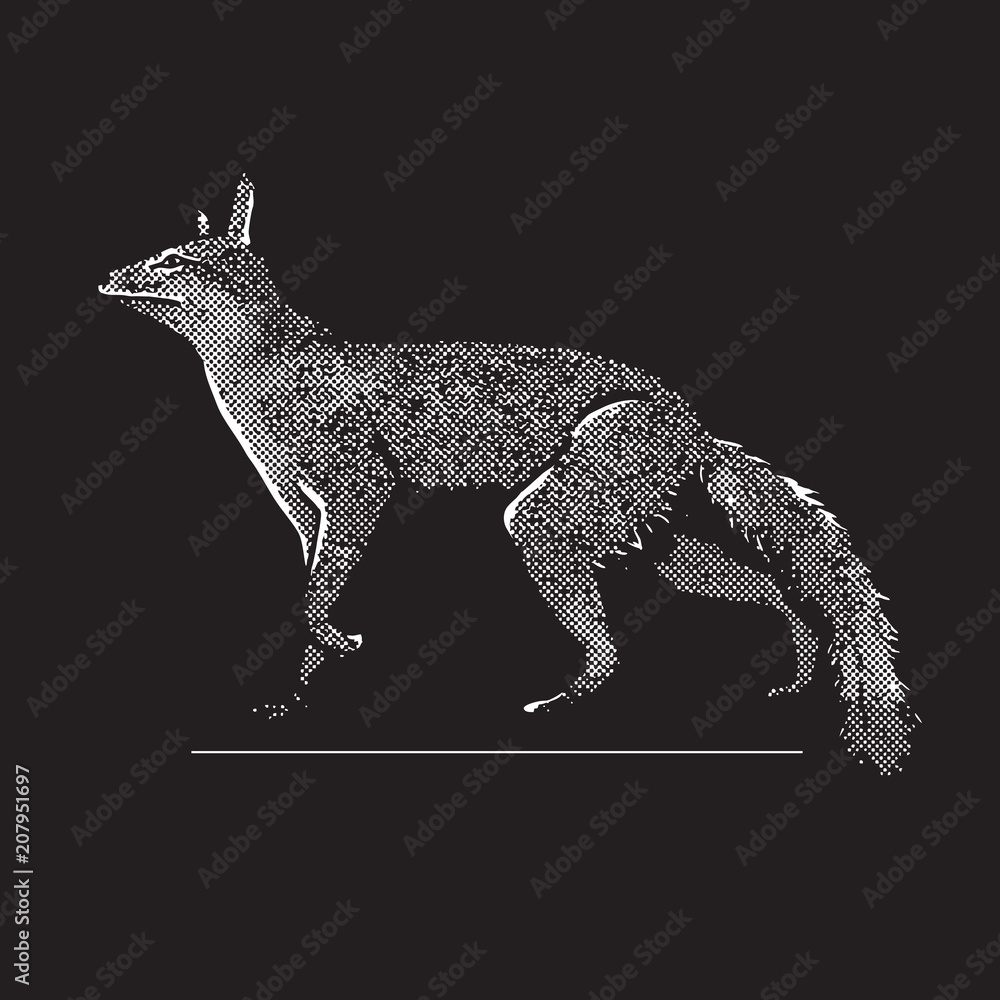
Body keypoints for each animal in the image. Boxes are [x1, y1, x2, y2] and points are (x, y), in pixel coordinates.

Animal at [100, 175, 915, 773]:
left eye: (173, 263)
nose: (108, 274)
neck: (257, 381)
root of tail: (691, 420)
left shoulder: (357, 494)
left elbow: (310, 604)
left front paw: (333, 649)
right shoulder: (303, 516)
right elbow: (304, 602)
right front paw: (297, 700)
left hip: (543, 524)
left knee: (614, 651)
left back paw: (562, 709)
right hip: (659, 551)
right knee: (775, 593)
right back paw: (795, 674)